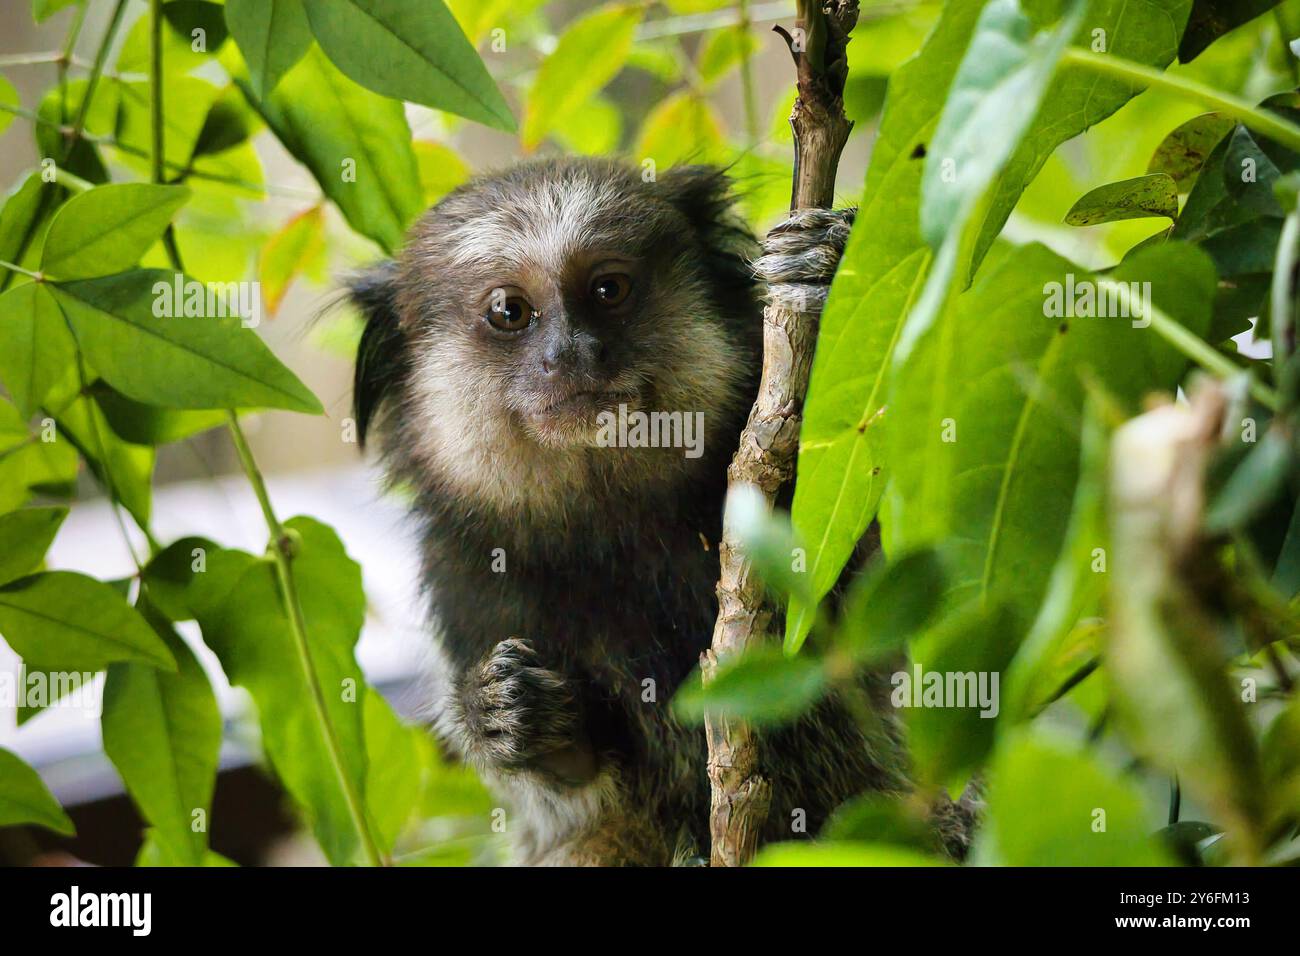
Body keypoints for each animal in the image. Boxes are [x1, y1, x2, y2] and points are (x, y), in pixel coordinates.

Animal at [350, 157, 974, 865]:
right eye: (509, 311)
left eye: (608, 290)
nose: (571, 354)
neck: (616, 532)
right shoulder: (464, 588)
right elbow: (566, 804)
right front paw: (518, 722)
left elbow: (881, 637)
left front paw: (820, 269)